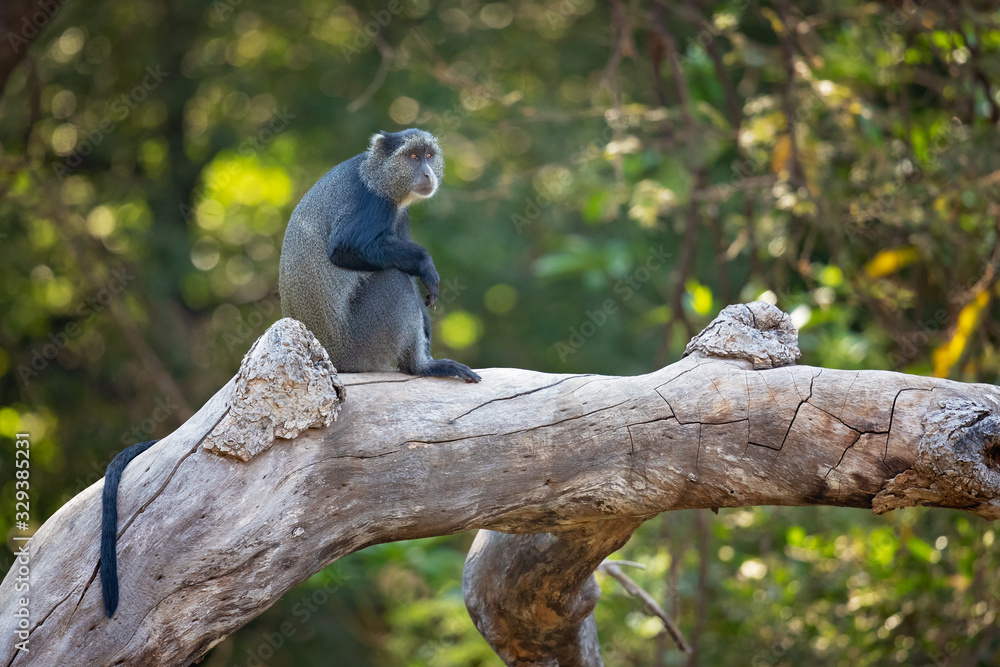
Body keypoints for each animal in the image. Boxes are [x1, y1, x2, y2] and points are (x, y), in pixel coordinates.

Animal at [278, 128, 481, 383]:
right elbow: (344, 248)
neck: (377, 173)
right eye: (413, 156)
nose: (428, 173)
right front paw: (426, 264)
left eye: (429, 155)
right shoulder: (373, 201)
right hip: (361, 347)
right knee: (393, 279)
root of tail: (331, 357)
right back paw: (420, 366)